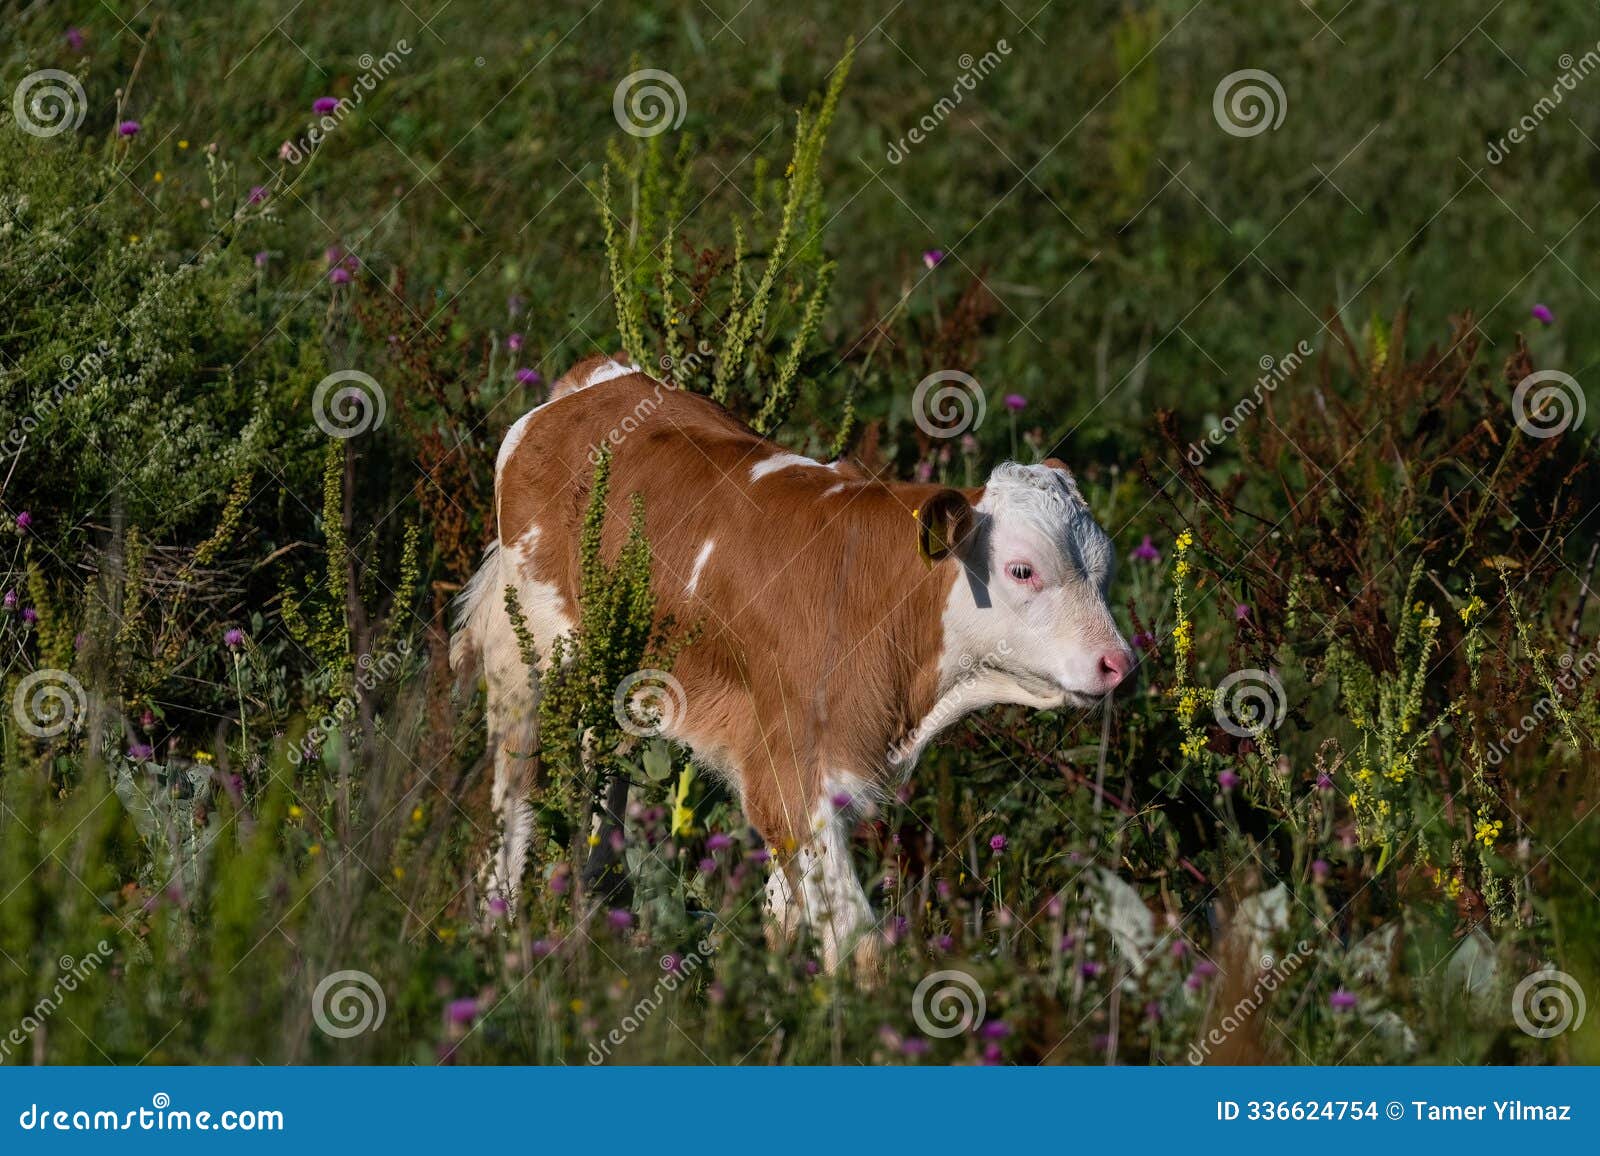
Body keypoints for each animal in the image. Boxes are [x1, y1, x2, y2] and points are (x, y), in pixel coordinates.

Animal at [450, 354, 1134, 972]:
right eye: (1021, 570)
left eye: (1105, 570)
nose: (1119, 663)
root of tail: (598, 378)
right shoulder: (795, 766)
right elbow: (856, 944)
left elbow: (787, 915)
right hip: (527, 661)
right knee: (515, 792)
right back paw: (496, 925)